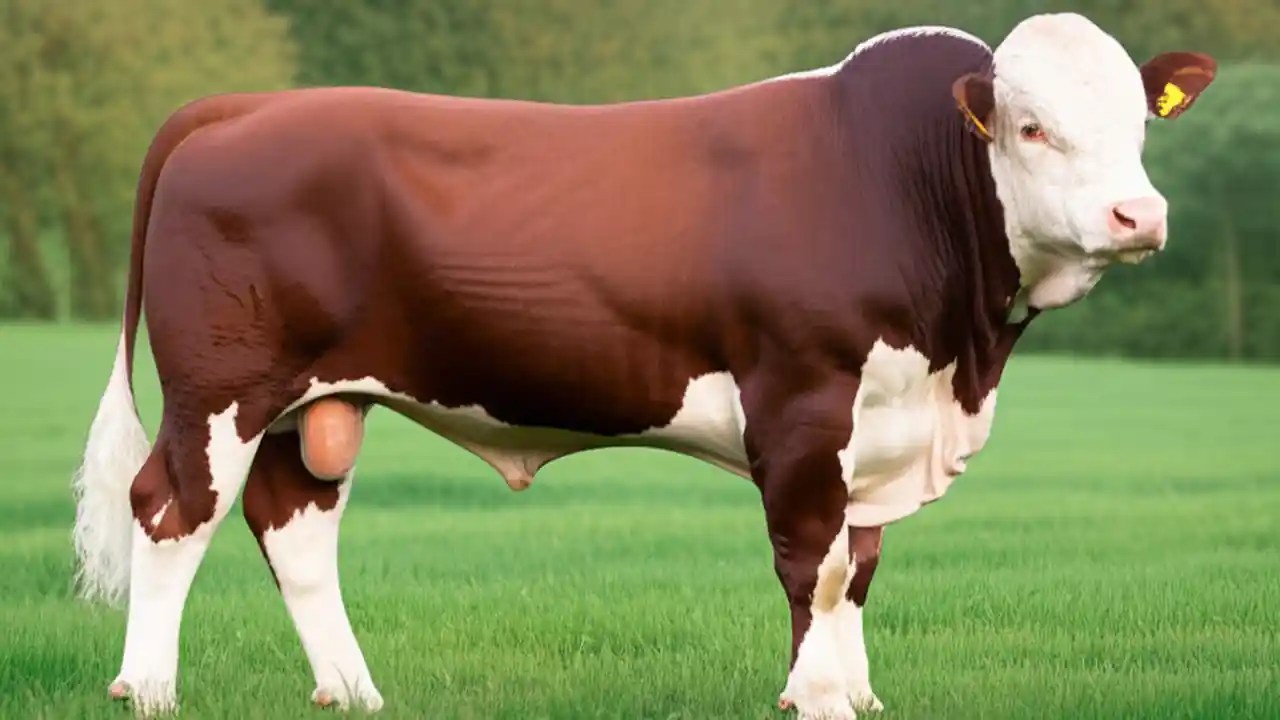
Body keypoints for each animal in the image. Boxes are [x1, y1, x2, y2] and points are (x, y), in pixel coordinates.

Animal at [70, 12, 1215, 719]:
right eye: (1031, 127)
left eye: (1135, 124)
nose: (1139, 215)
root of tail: (245, 104)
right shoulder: (803, 405)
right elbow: (813, 563)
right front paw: (814, 697)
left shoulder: (880, 420)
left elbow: (859, 567)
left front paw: (858, 693)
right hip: (221, 388)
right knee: (171, 509)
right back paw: (151, 690)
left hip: (316, 399)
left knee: (293, 526)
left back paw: (352, 692)